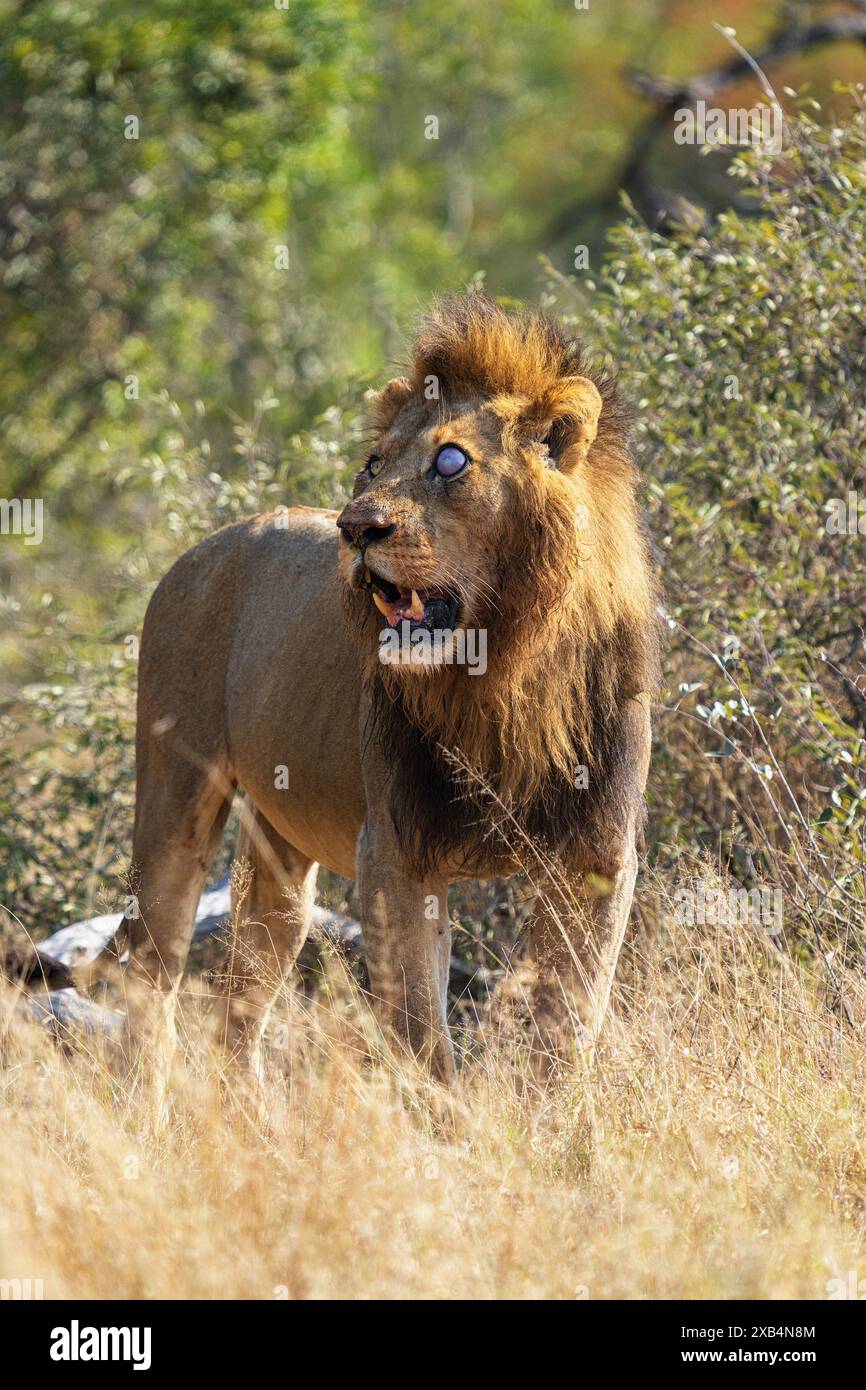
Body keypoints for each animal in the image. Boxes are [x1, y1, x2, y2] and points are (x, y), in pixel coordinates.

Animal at [113, 291, 658, 1091]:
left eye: (451, 462)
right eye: (370, 466)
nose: (354, 527)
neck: (500, 678)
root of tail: (201, 546)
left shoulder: (595, 858)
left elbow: (564, 1028)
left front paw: (551, 1121)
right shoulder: (397, 854)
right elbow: (423, 1039)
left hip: (281, 858)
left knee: (244, 995)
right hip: (174, 805)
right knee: (151, 973)